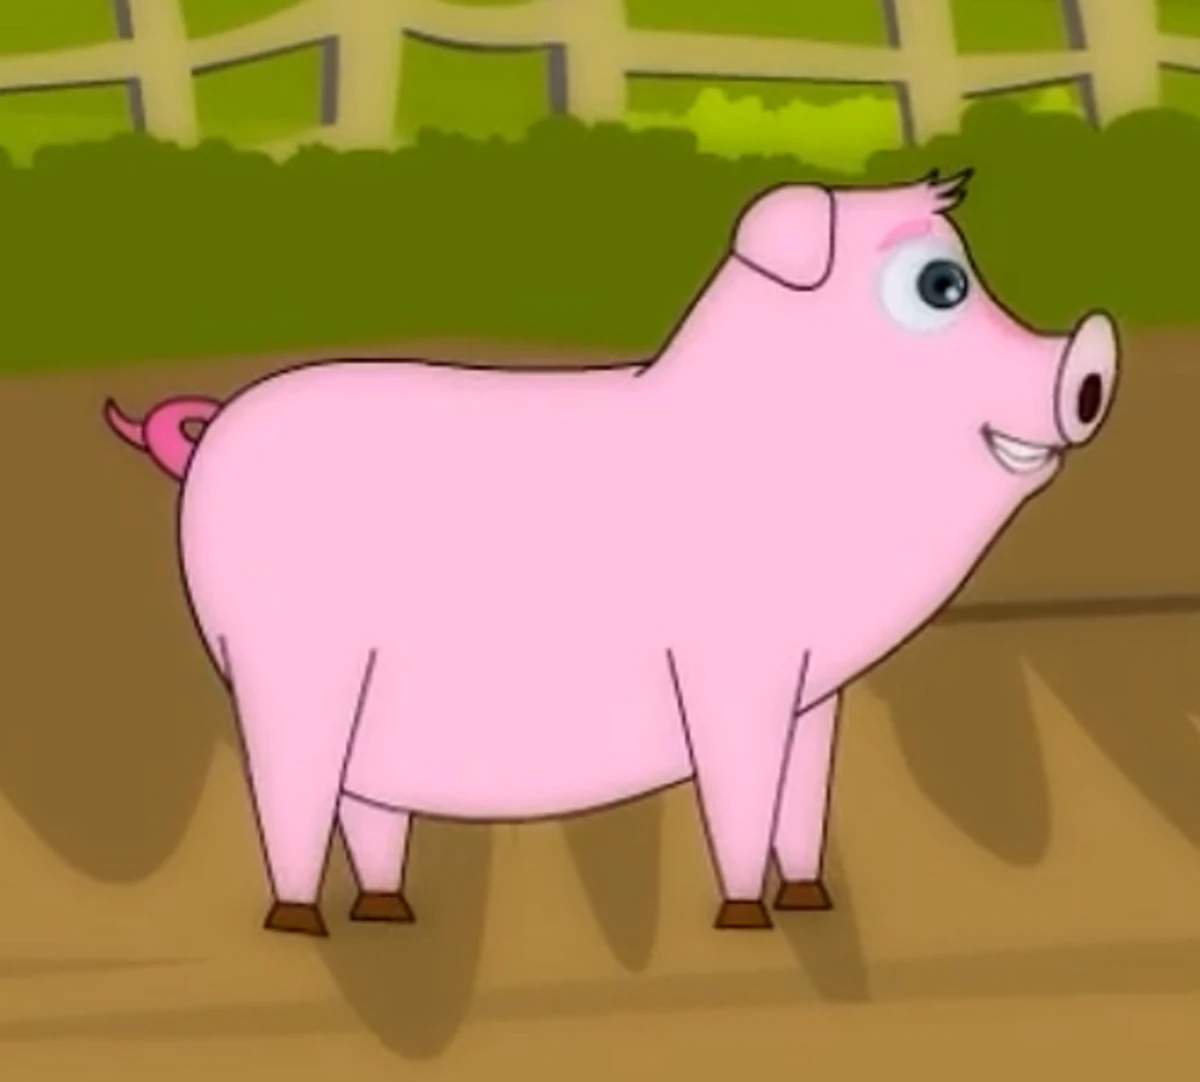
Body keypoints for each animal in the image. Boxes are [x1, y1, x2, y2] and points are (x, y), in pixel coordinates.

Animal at [104, 171, 1118, 938]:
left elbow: (802, 795)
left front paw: (808, 899)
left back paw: (386, 911)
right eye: (936, 286)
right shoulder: (729, 664)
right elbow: (741, 789)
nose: (1094, 356)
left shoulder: (814, 688)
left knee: (363, 805)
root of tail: (213, 431)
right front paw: (745, 918)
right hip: (283, 664)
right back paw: (299, 921)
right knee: (292, 791)